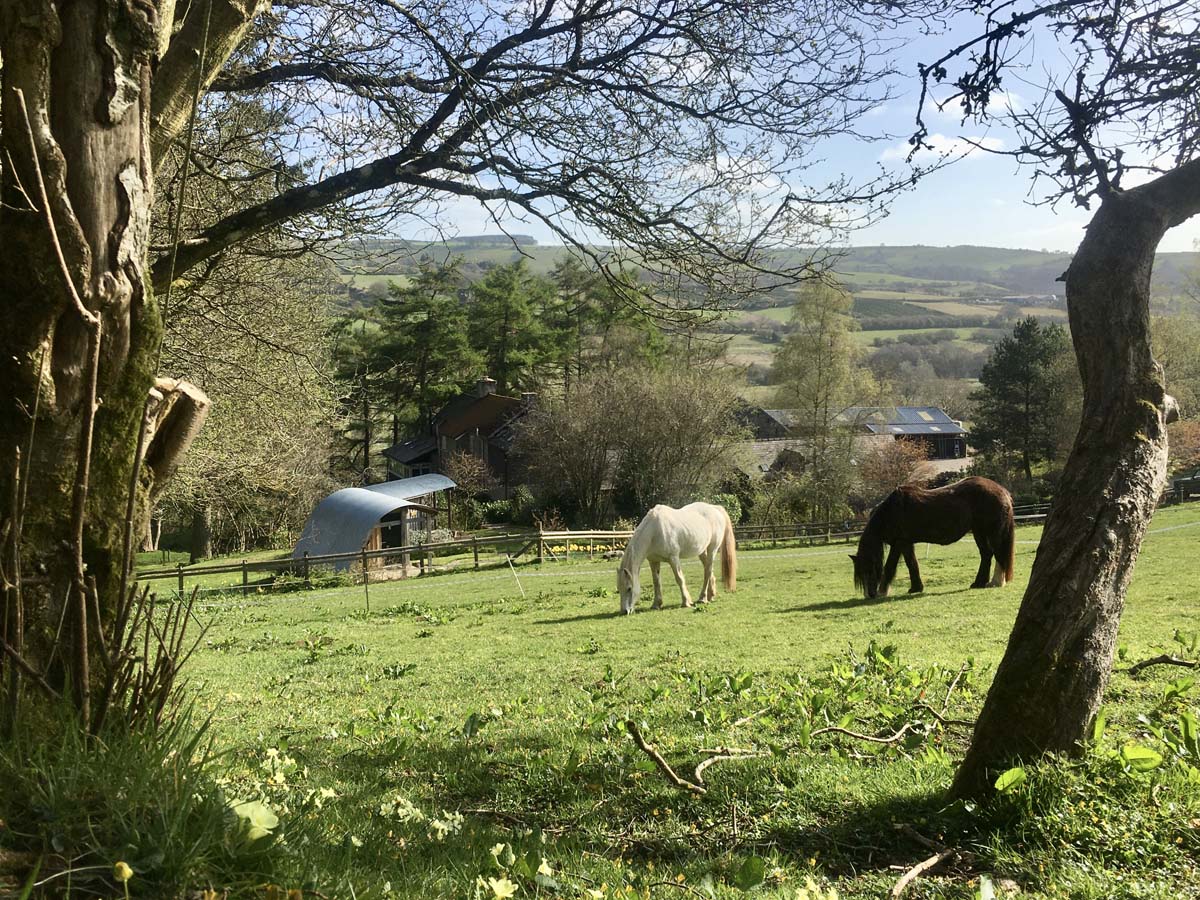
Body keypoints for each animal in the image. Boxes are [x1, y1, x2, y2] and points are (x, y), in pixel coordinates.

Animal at [849, 476, 1014, 599]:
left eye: (869, 570)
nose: (869, 595)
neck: (890, 513)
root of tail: (1002, 491)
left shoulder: (899, 543)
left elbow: (890, 566)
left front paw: (883, 591)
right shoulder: (906, 543)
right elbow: (912, 564)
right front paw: (916, 588)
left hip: (991, 532)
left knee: (998, 554)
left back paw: (996, 582)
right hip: (978, 531)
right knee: (986, 554)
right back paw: (979, 583)